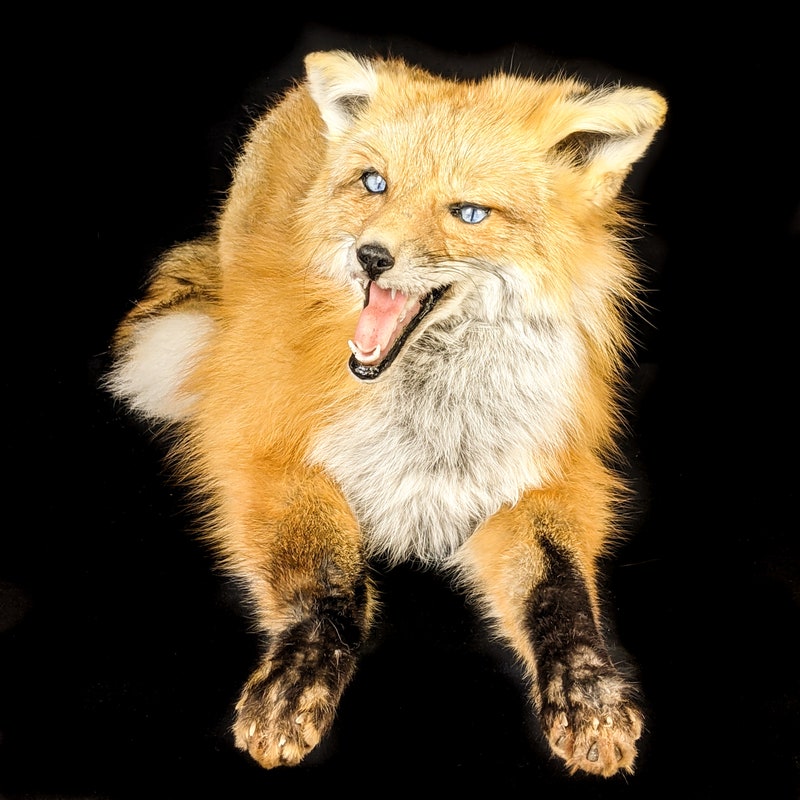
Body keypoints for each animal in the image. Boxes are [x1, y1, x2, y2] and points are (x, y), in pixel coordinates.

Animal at [106, 49, 667, 777]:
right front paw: (295, 681)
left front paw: (589, 693)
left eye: (469, 213)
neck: (431, 421)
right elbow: (334, 585)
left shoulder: (541, 476)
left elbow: (561, 594)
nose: (369, 256)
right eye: (375, 184)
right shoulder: (265, 450)